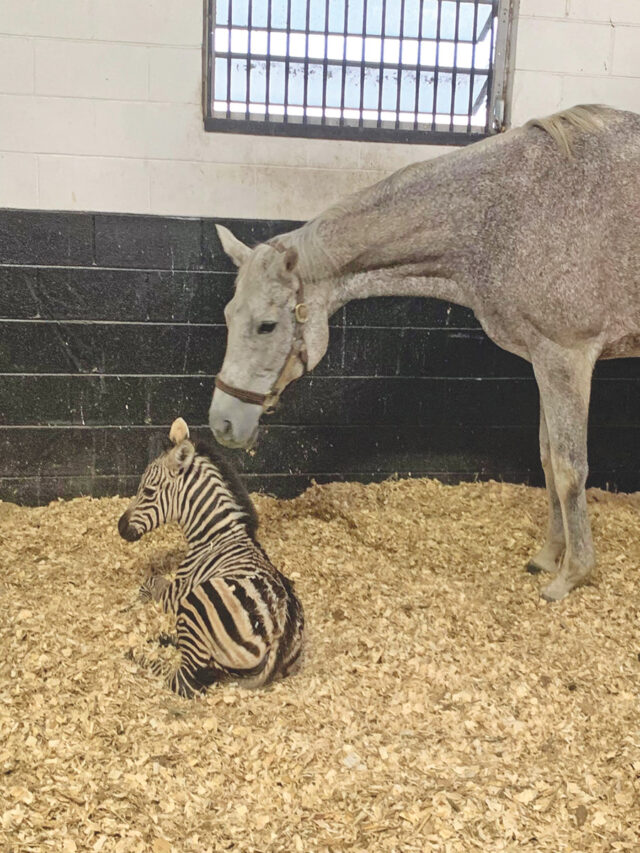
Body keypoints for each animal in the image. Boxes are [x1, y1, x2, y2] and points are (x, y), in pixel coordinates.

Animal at [208, 105, 640, 602]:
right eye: (229, 314)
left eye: (267, 325)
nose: (221, 422)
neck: (508, 214)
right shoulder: (543, 360)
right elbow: (548, 460)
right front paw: (548, 556)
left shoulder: (566, 356)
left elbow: (570, 470)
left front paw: (572, 575)